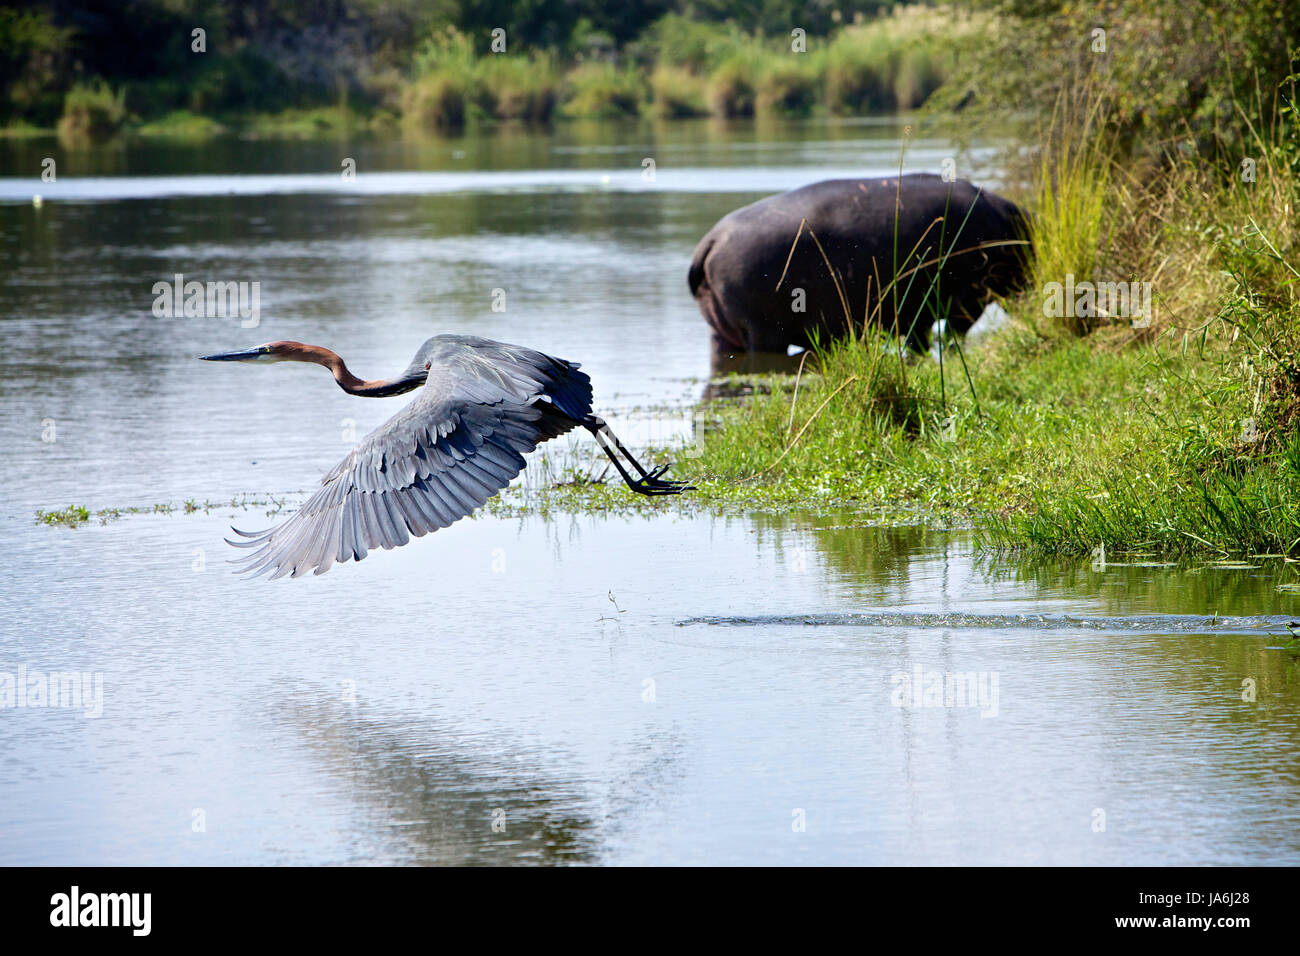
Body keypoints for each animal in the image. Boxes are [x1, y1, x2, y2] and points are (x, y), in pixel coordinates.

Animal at [689, 174, 1030, 353]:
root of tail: (712, 239)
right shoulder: (967, 302)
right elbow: (950, 337)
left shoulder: (917, 314)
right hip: (764, 332)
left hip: (724, 333)